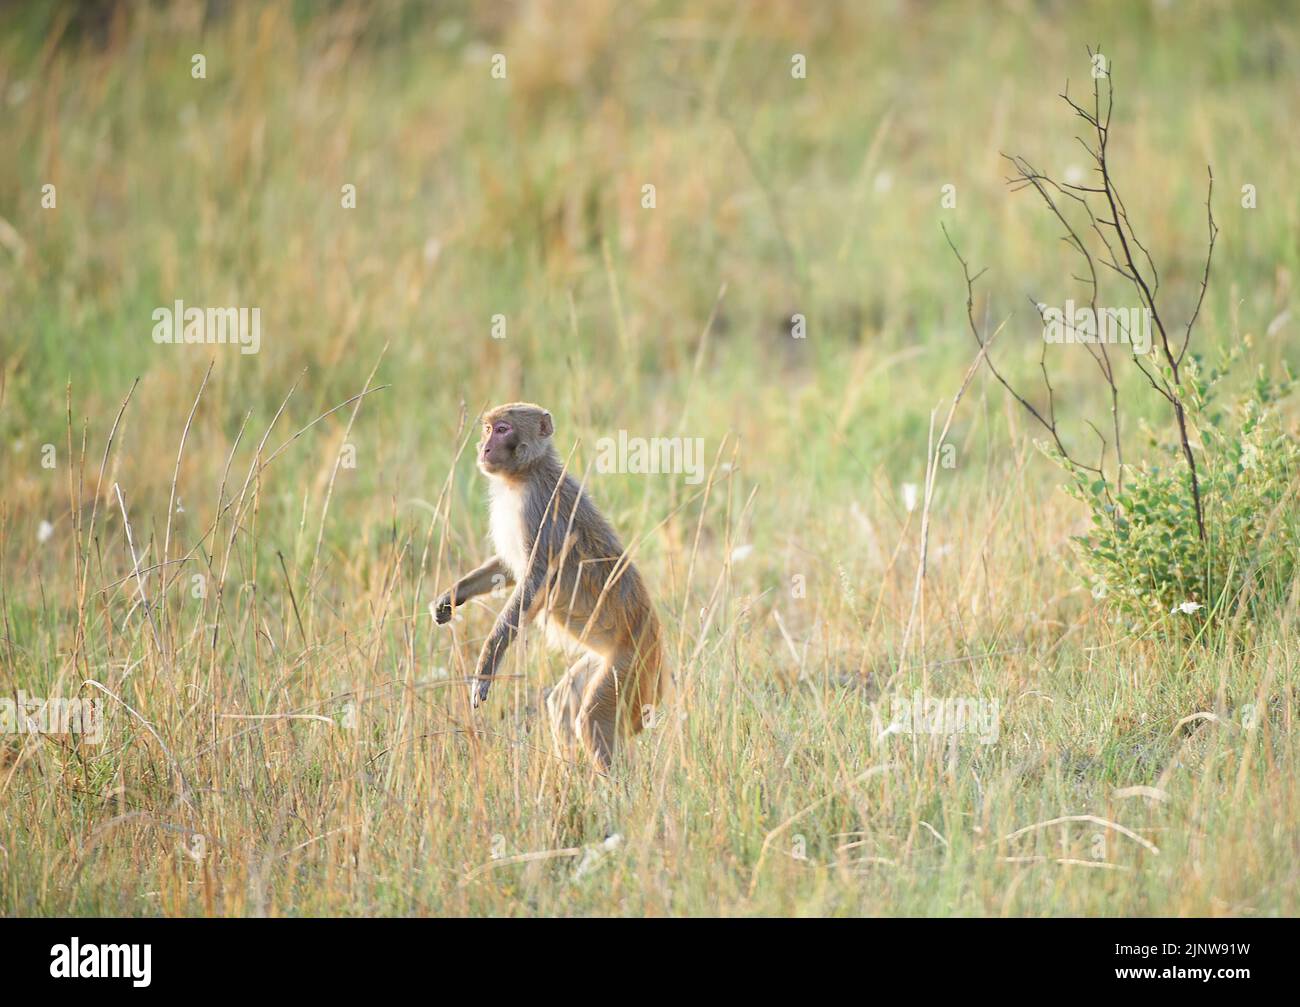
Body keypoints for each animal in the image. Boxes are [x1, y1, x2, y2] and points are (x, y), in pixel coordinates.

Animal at [434, 402, 666, 772]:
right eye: (487, 429)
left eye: (502, 429)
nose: (484, 449)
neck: (524, 475)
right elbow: (510, 570)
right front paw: (452, 597)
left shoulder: (537, 510)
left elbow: (535, 581)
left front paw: (486, 666)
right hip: (604, 661)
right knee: (564, 704)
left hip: (633, 667)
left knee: (592, 719)